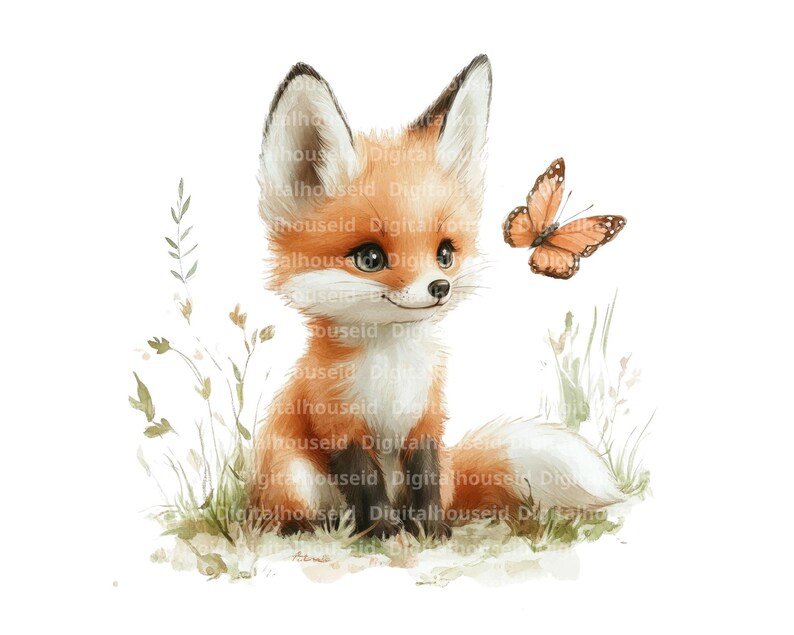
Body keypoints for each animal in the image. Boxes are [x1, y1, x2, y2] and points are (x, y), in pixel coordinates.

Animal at [251, 55, 623, 539]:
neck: (392, 370)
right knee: (296, 511)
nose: (439, 288)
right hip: (293, 473)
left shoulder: (427, 419)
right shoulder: (338, 423)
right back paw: (317, 527)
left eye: (444, 253)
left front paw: (430, 530)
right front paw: (385, 530)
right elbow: (365, 482)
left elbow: (424, 479)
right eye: (369, 258)